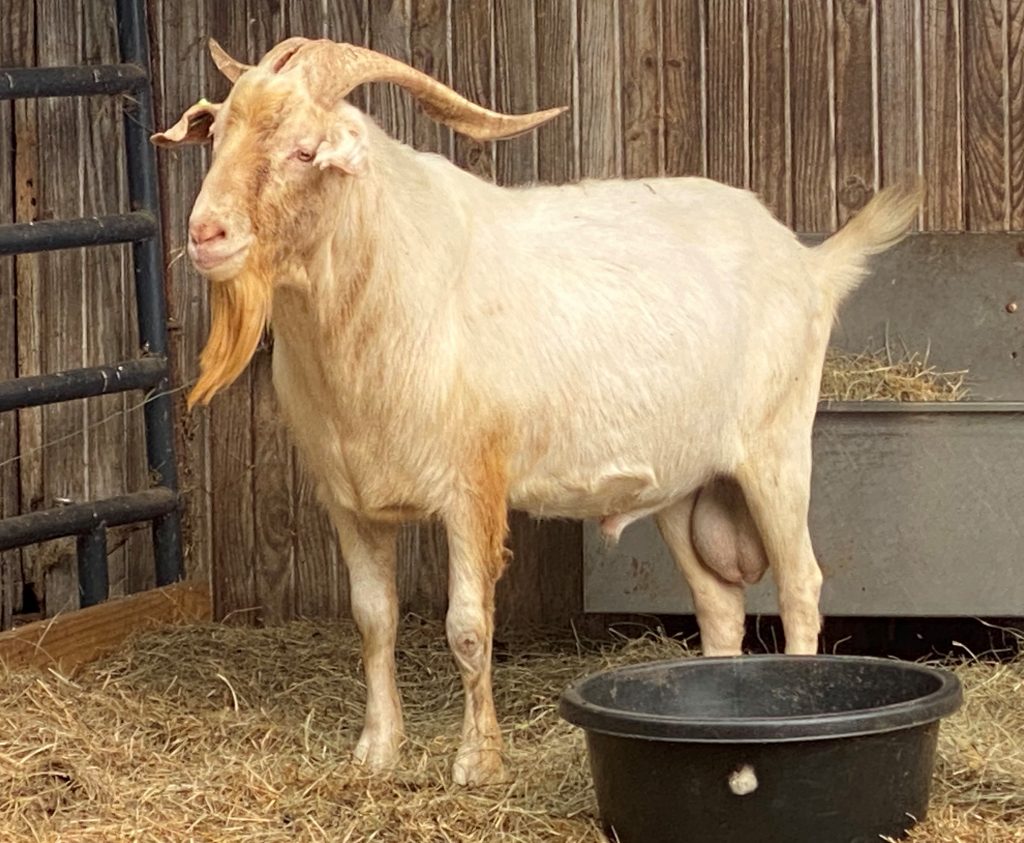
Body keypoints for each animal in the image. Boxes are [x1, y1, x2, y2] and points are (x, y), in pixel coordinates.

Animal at [152, 36, 922, 786]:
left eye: (305, 150)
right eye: (219, 133)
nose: (206, 234)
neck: (386, 287)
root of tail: (809, 263)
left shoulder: (471, 488)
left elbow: (468, 626)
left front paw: (478, 762)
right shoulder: (349, 499)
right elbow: (373, 621)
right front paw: (376, 751)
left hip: (776, 450)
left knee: (800, 586)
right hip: (685, 483)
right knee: (721, 606)